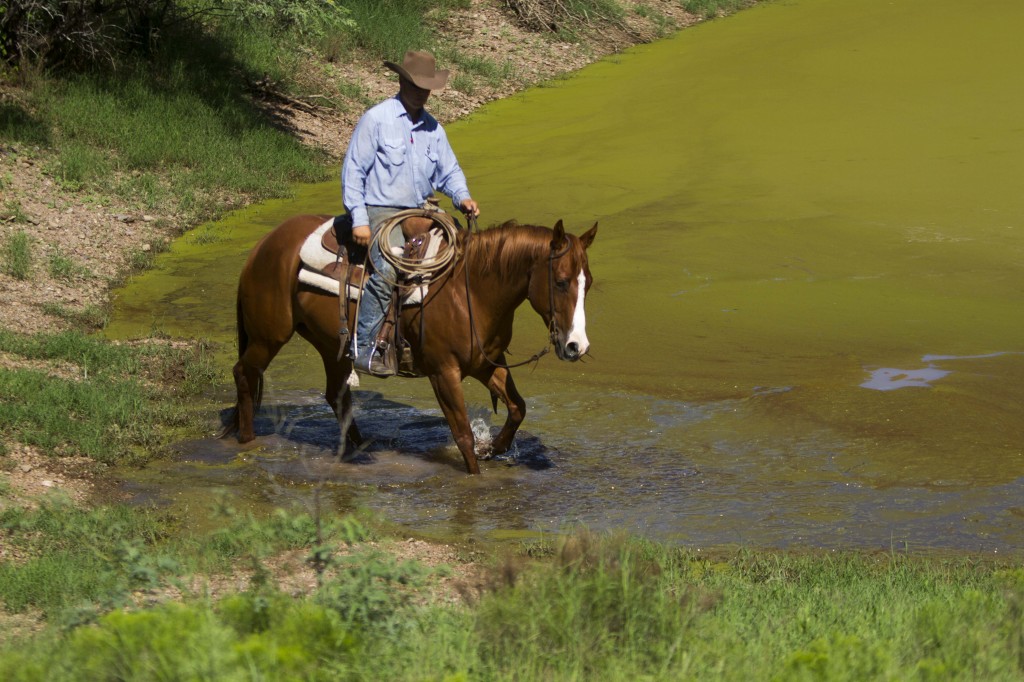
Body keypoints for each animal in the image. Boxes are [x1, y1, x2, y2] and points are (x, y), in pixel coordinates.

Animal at [219, 214, 597, 474]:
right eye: (561, 281)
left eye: (588, 282)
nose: (576, 346)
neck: (470, 291)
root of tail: (264, 245)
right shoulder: (443, 372)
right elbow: (462, 434)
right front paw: (477, 472)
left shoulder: (486, 363)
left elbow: (518, 408)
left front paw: (493, 449)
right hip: (269, 336)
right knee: (244, 373)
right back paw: (247, 439)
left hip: (330, 345)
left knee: (336, 396)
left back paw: (361, 447)